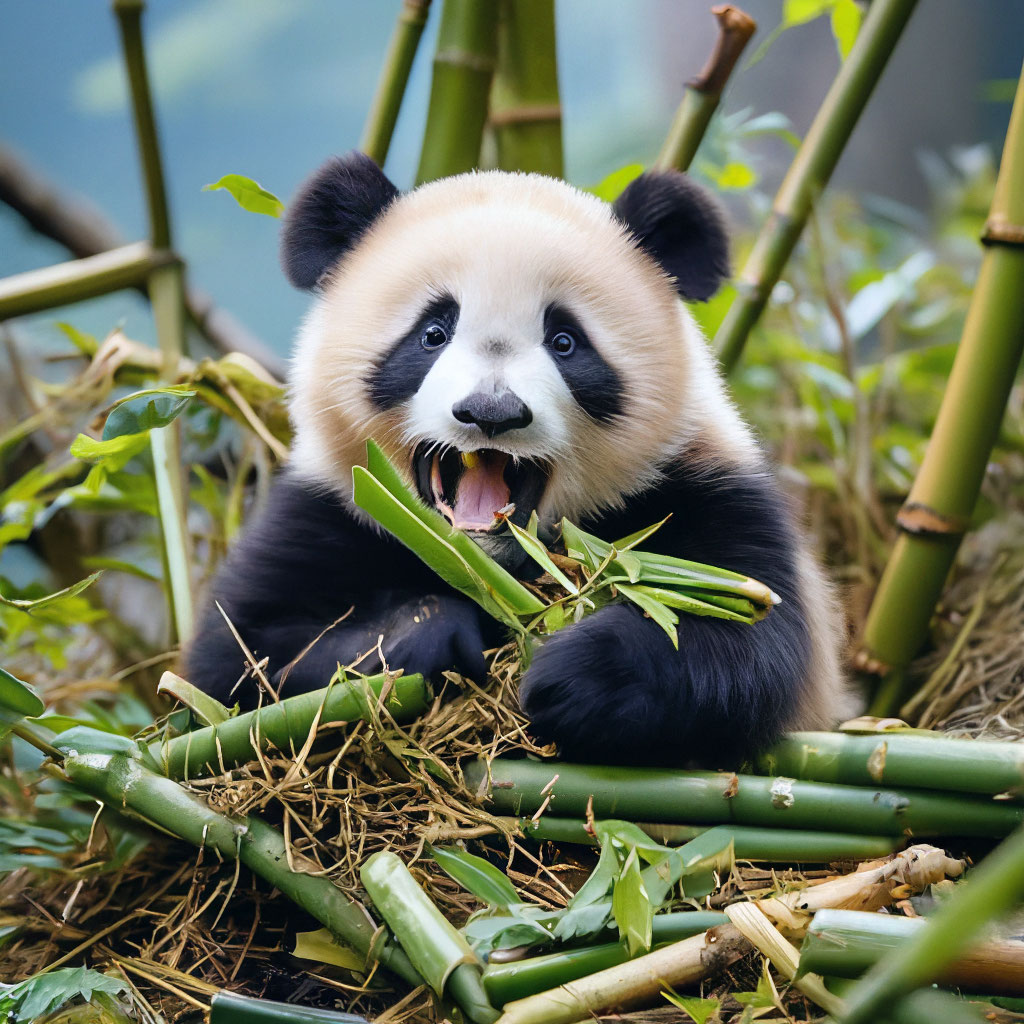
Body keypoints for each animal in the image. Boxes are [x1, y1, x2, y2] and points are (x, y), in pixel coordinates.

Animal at [184, 151, 846, 767]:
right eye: (433, 333)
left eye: (565, 341)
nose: (491, 412)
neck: (490, 565)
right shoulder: (325, 513)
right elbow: (240, 667)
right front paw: (431, 635)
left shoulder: (703, 486)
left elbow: (749, 642)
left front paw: (575, 675)